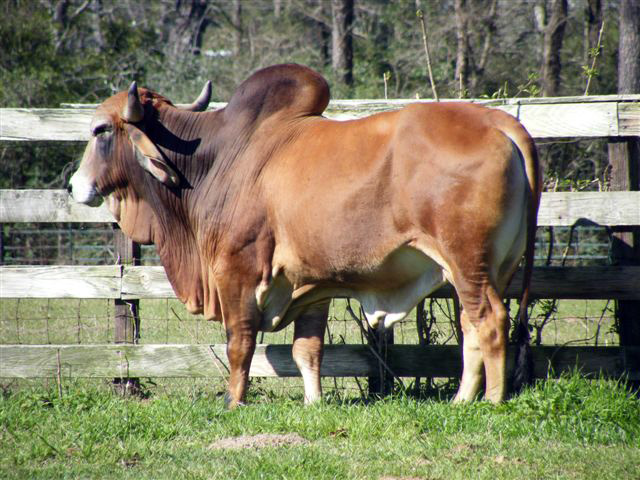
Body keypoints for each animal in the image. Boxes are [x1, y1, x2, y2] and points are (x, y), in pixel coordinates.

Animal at [68, 64, 541, 408]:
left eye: (100, 131)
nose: (74, 186)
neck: (214, 159)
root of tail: (499, 123)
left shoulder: (236, 272)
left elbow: (239, 344)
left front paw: (233, 402)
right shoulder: (312, 285)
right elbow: (307, 350)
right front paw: (314, 404)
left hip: (468, 261)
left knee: (490, 321)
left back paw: (492, 402)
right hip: (483, 268)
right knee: (470, 324)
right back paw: (462, 399)